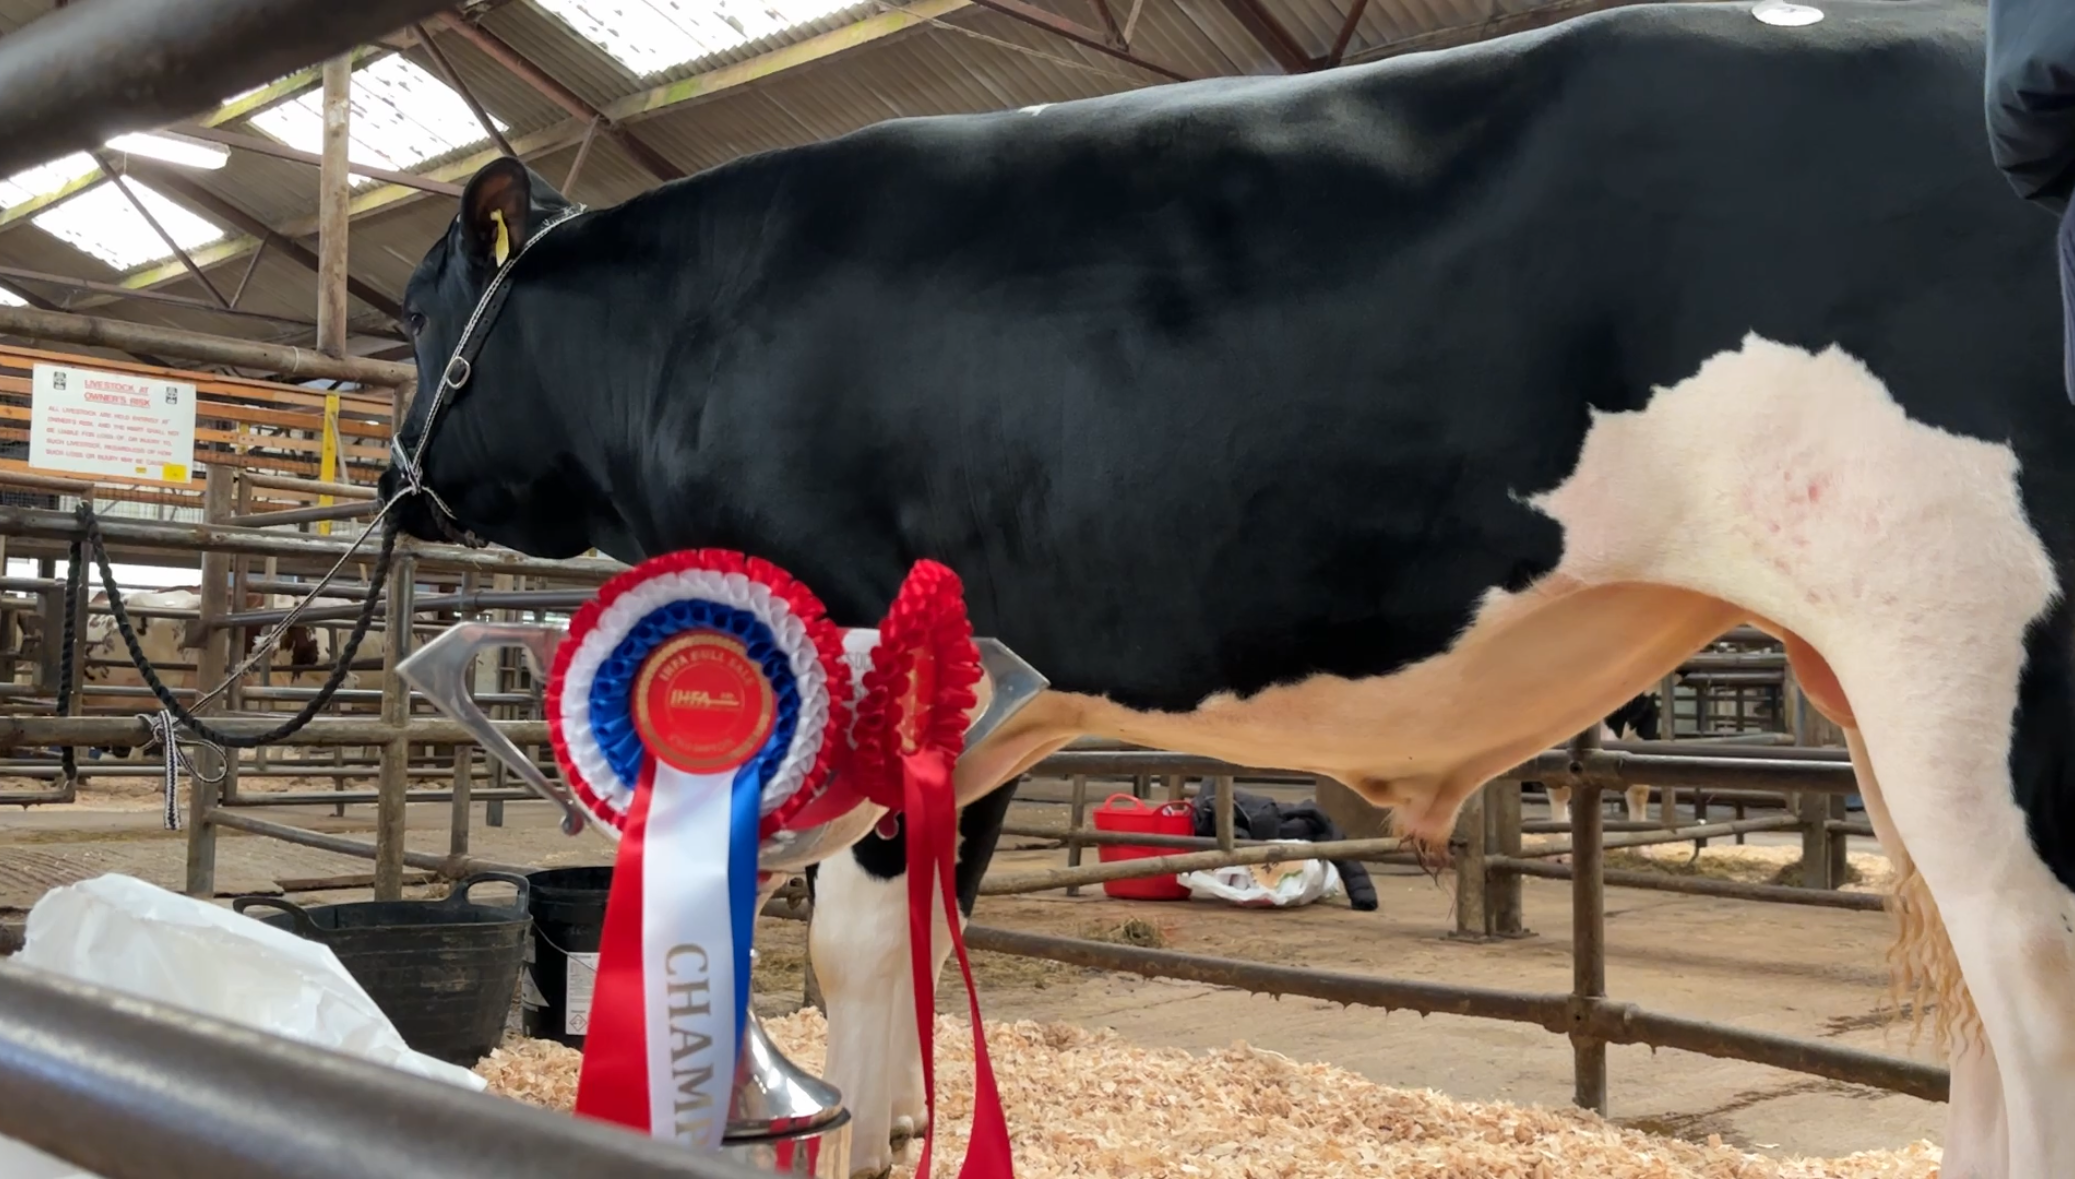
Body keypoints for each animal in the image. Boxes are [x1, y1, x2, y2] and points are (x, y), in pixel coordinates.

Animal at [377, 2, 2073, 1175]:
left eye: (411, 310)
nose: (392, 484)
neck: (703, 310)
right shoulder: (981, 714)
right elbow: (912, 959)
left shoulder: (856, 646)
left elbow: (853, 966)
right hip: (1882, 692)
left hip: (1982, 673)